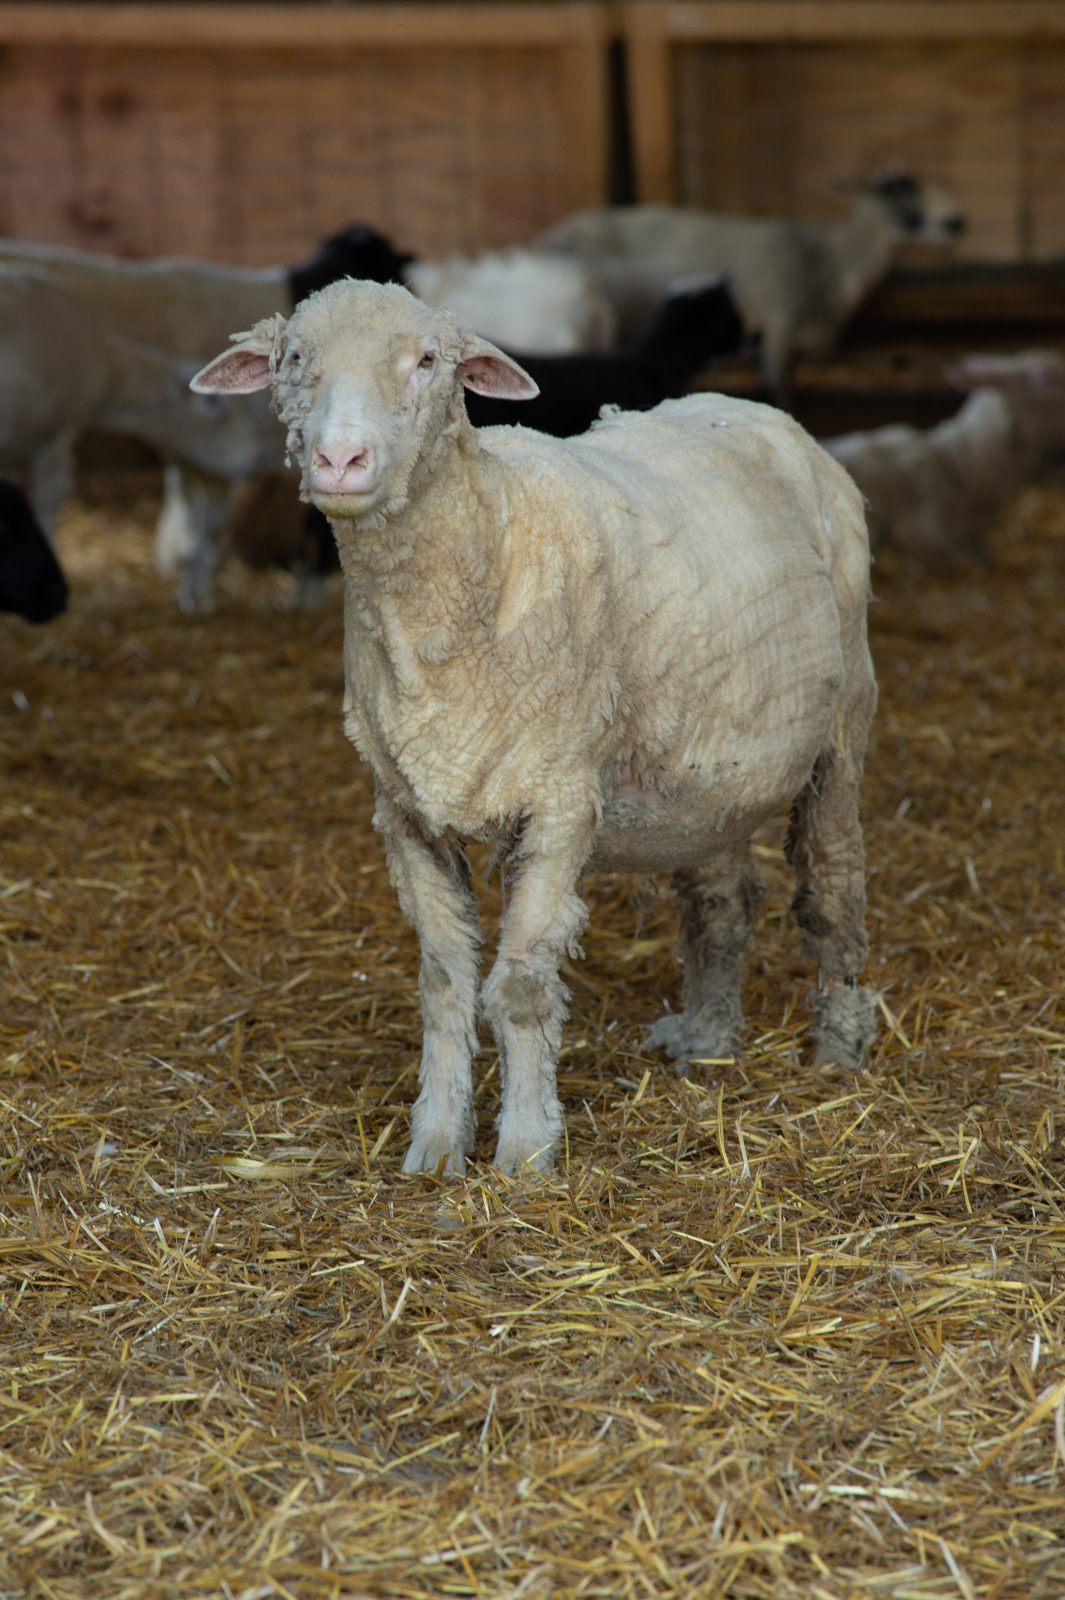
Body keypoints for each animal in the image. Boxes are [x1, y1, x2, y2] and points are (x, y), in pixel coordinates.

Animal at [191, 280, 879, 1175]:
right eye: (293, 357)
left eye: (428, 360)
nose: (340, 461)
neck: (481, 547)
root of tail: (745, 407)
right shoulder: (405, 813)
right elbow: (444, 984)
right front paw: (437, 1143)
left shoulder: (557, 803)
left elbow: (518, 988)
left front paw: (523, 1151)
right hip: (703, 767)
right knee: (722, 900)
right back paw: (706, 1038)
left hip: (840, 728)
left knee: (830, 889)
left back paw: (837, 1044)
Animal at [534, 174, 965, 398]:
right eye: (899, 189)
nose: (959, 221)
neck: (829, 260)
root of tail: (552, 235)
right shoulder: (778, 335)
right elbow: (782, 397)